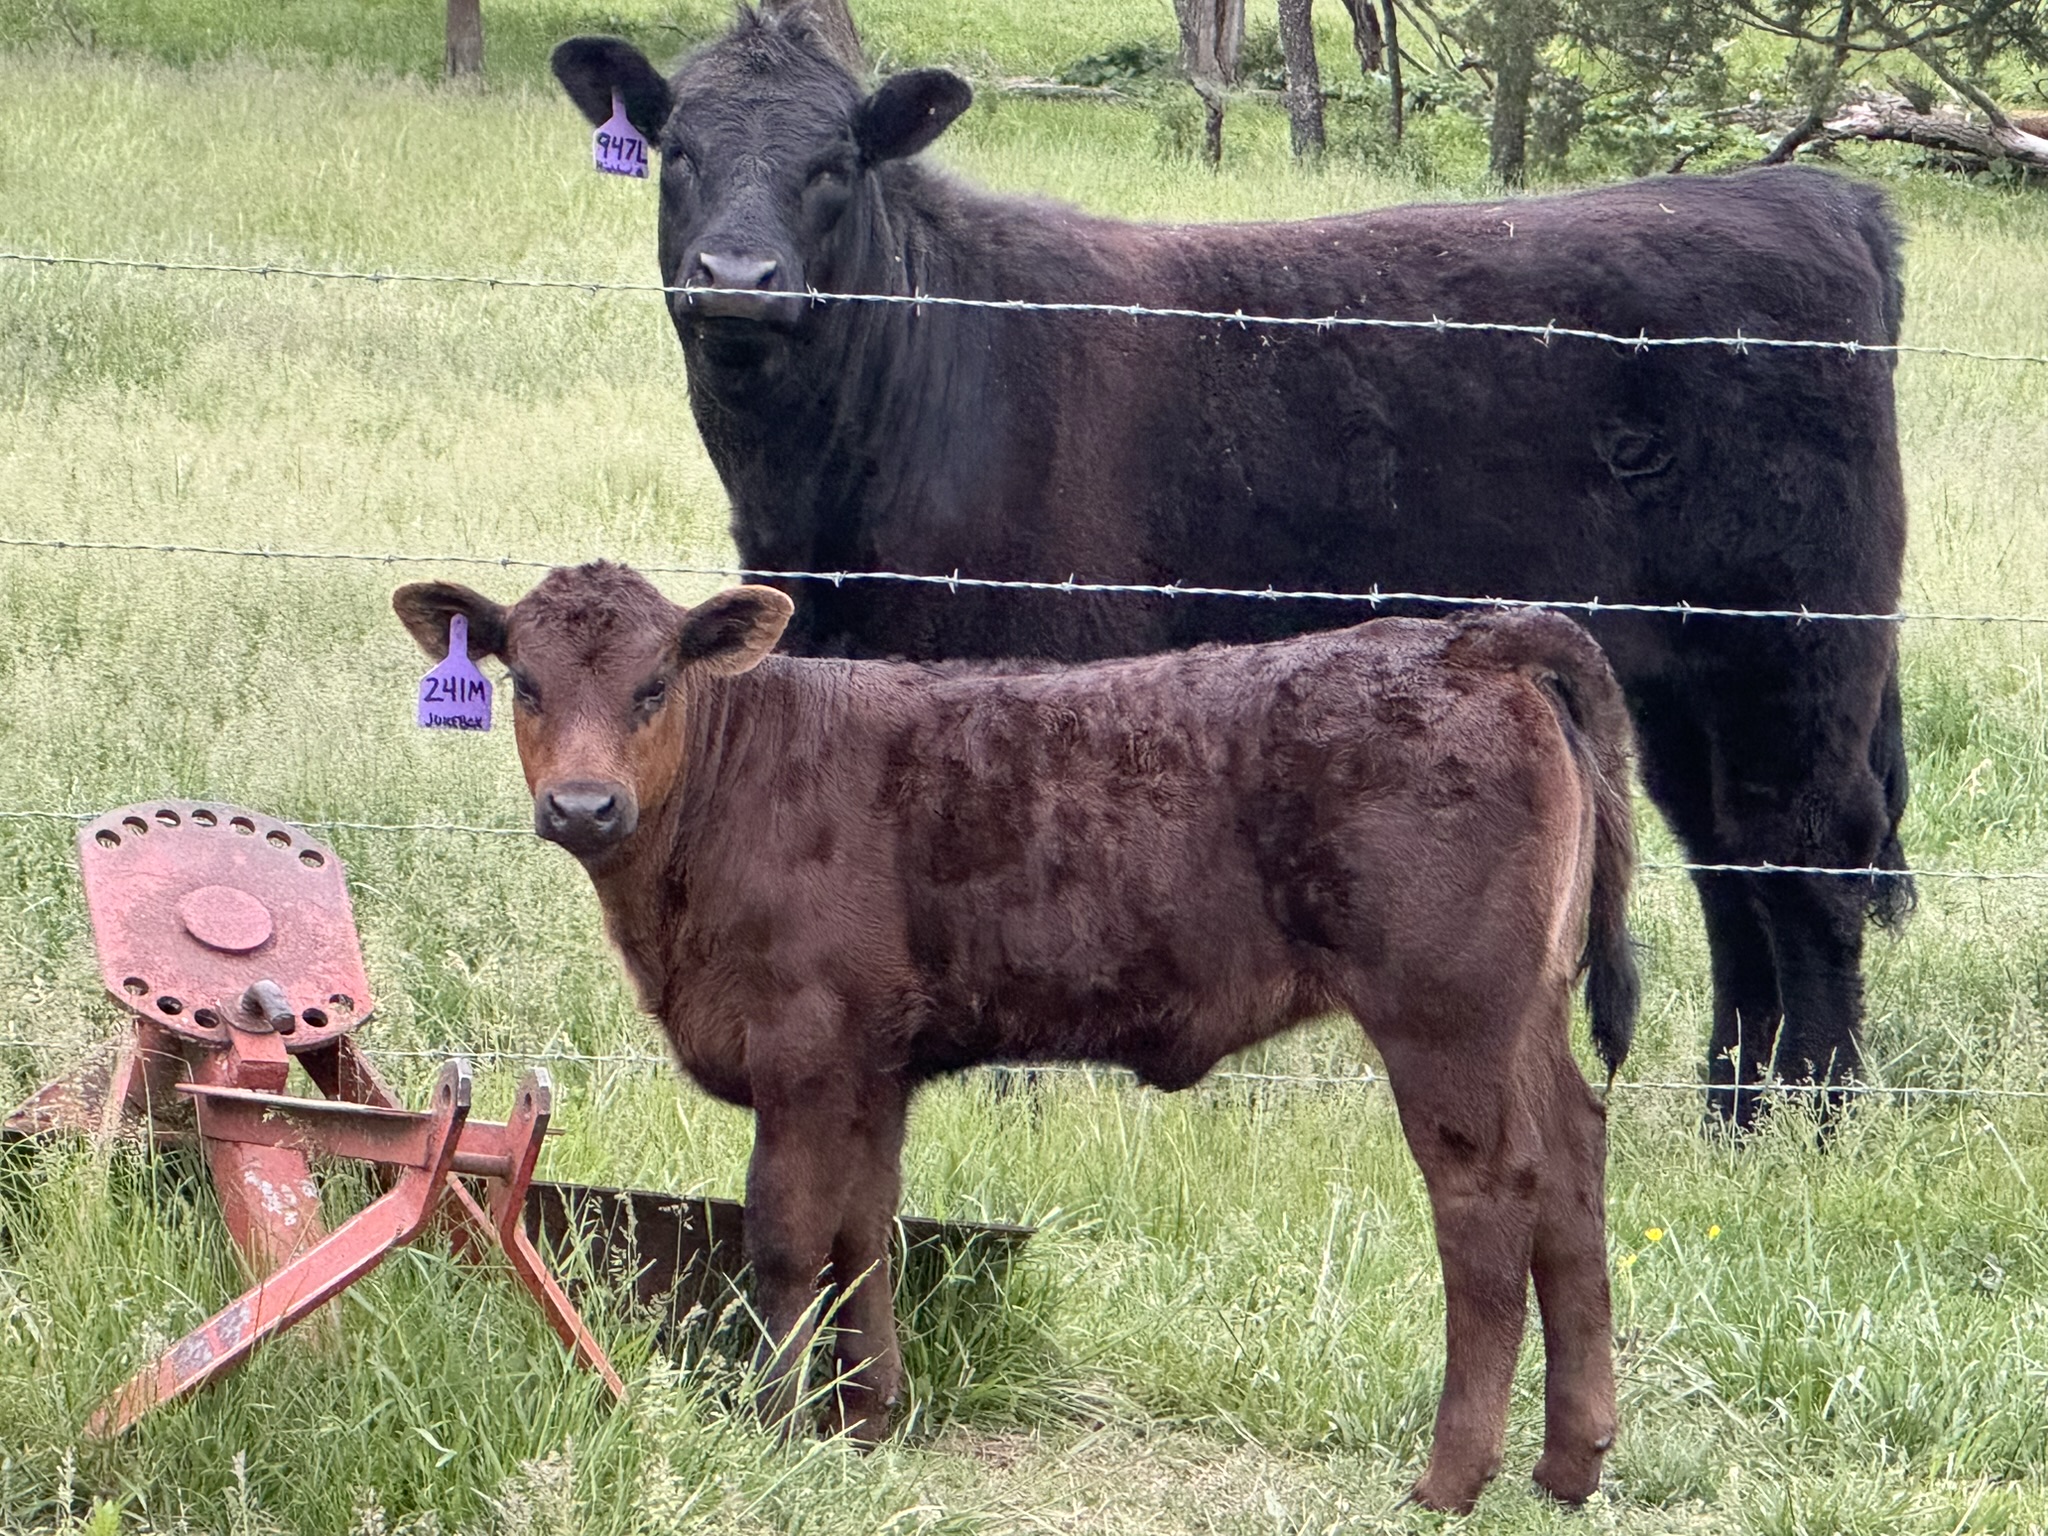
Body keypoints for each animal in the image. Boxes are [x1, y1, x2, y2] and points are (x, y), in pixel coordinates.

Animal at [393, 560, 1639, 1512]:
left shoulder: (803, 1047)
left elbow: (786, 1238)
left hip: (1445, 1016)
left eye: (655, 683)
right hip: (1527, 1016)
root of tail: (1472, 638)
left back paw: (1451, 1477)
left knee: (1489, 1196)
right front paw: (871, 1417)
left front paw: (774, 1425)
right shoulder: (872, 1066)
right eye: (524, 682)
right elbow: (866, 1231)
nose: (583, 806)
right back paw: (1568, 1464)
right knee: (1574, 1169)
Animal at [549, 12, 1913, 1129]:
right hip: (1684, 674)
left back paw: (1818, 1117)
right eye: (678, 150)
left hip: (1795, 648)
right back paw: (1733, 1117)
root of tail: (1810, 199)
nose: (737, 281)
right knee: (1732, 862)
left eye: (834, 160)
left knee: (1811, 856)